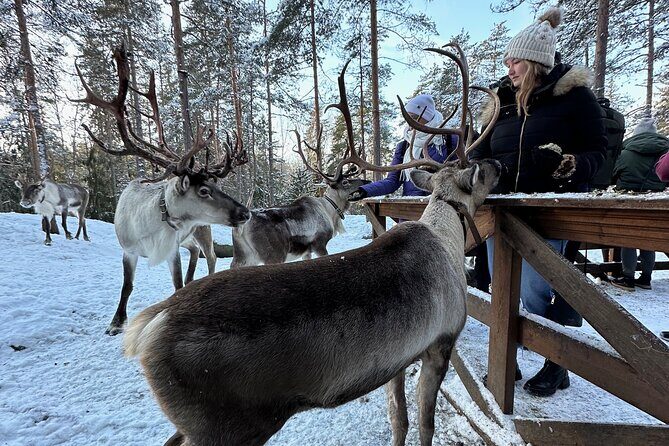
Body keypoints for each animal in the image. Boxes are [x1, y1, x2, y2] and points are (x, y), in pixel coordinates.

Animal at [72, 44, 250, 335]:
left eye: (215, 184)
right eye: (203, 191)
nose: (245, 212)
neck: (151, 228)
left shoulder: (171, 249)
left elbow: (176, 285)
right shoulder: (129, 250)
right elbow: (127, 286)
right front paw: (116, 322)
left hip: (202, 229)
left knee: (210, 255)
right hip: (189, 236)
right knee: (196, 252)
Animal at [230, 128, 369, 268]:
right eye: (345, 182)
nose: (366, 181)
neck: (331, 211)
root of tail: (241, 227)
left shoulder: (306, 252)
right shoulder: (320, 244)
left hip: (243, 256)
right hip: (274, 254)